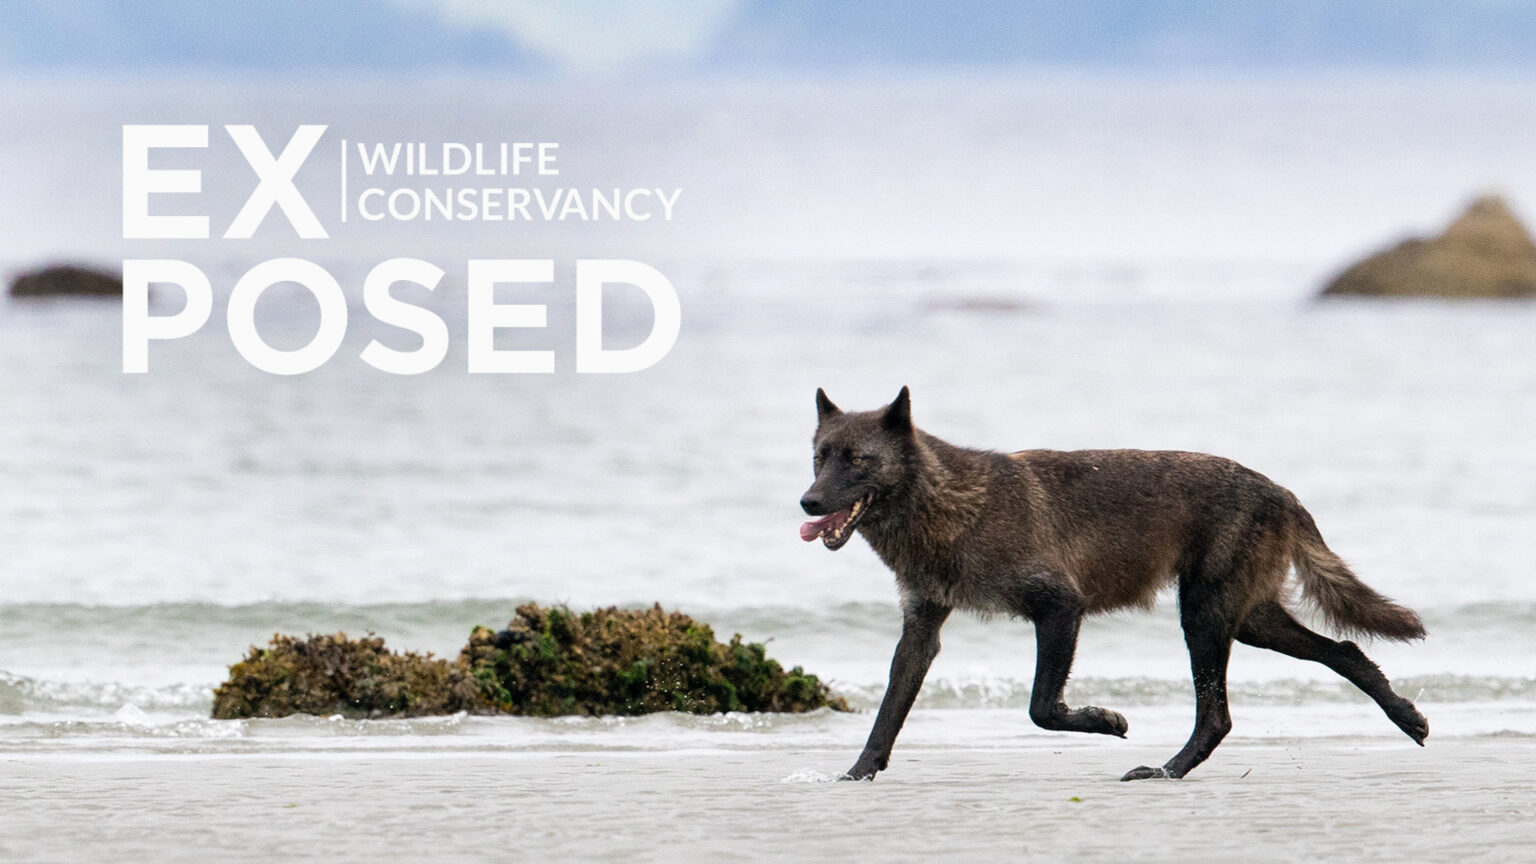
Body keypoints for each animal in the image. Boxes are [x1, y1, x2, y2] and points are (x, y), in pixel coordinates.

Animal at [799, 387, 1428, 781]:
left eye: (857, 460)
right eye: (819, 457)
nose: (807, 502)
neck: (949, 505)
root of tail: (1280, 490)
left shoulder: (1060, 607)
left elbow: (1041, 708)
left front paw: (1106, 721)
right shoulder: (922, 629)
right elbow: (887, 714)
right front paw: (856, 774)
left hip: (1205, 619)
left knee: (1219, 715)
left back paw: (1164, 771)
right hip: (1245, 620)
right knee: (1344, 650)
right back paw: (1407, 716)